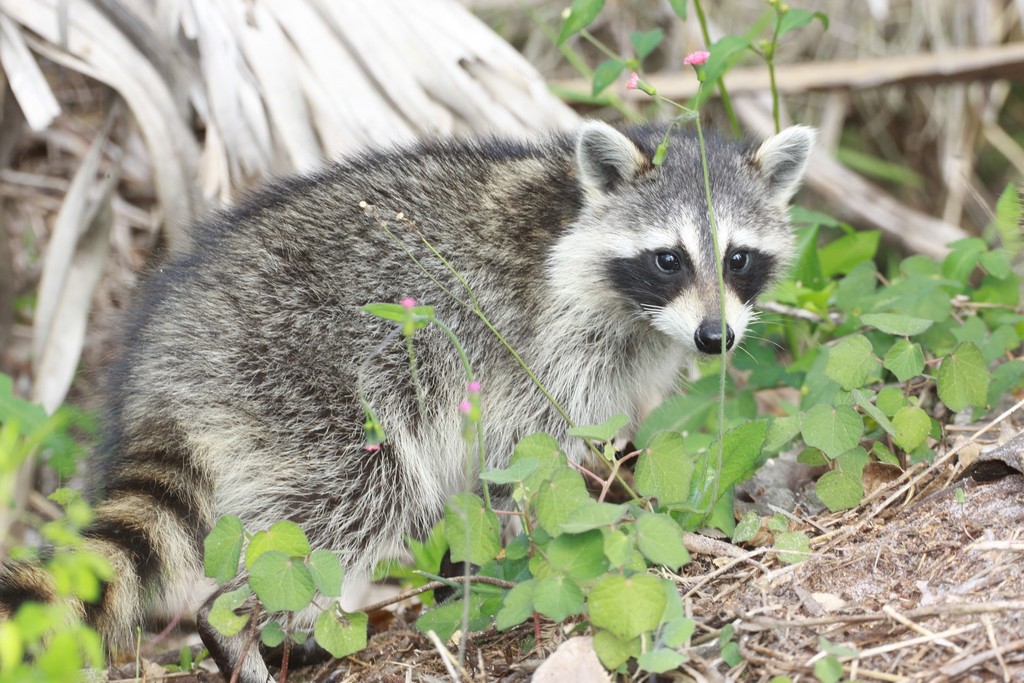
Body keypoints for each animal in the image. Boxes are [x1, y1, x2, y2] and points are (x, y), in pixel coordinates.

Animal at [0, 120, 814, 681]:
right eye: (669, 258)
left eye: (738, 257)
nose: (715, 337)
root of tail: (166, 361)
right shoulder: (540, 343)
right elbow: (537, 462)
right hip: (303, 385)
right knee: (359, 495)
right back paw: (235, 625)